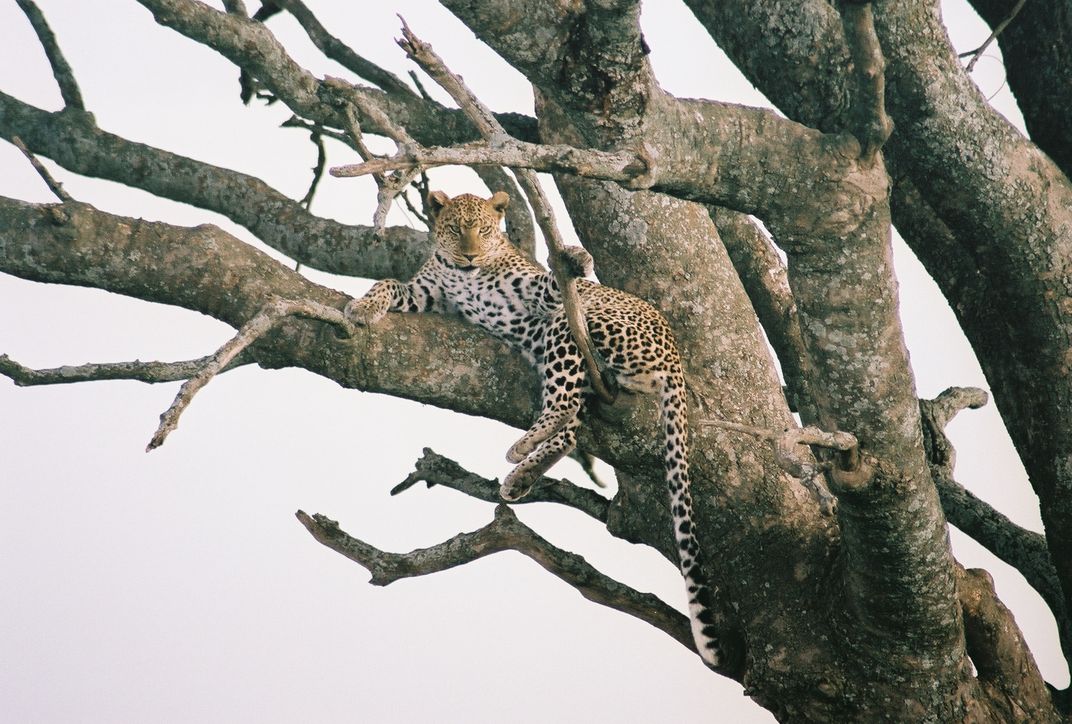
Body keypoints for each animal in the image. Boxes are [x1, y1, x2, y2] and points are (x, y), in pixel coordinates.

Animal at [346, 190, 722, 668]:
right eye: (456, 229)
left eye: (484, 230)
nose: (471, 254)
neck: (465, 274)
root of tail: (675, 356)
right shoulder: (427, 294)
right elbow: (391, 283)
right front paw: (363, 307)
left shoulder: (536, 290)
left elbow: (554, 284)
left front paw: (576, 259)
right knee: (569, 423)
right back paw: (522, 475)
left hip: (574, 325)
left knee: (563, 402)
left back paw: (520, 449)